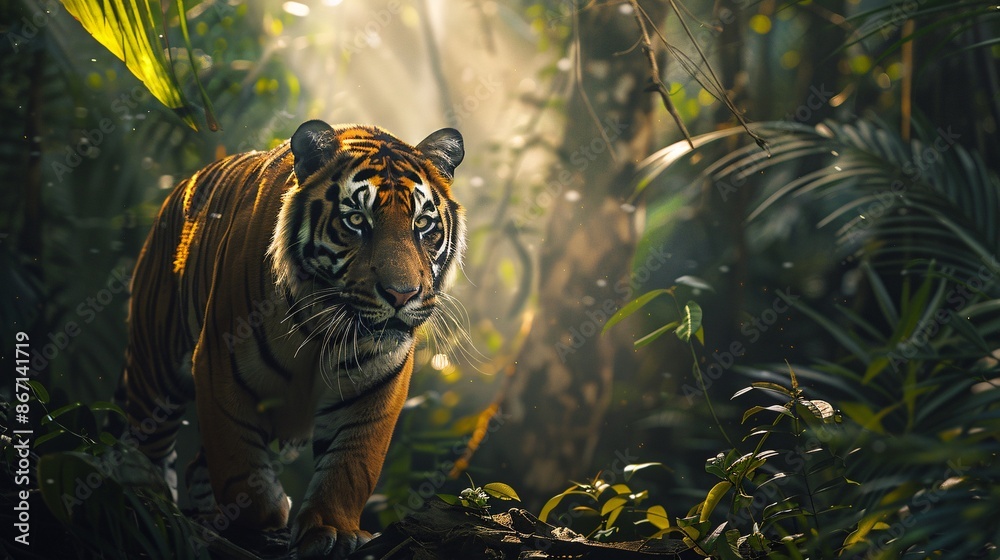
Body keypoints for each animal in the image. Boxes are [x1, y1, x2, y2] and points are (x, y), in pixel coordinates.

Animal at [121, 119, 465, 558]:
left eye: (422, 224)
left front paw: (331, 530)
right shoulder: (220, 364)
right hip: (155, 373)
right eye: (357, 220)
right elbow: (237, 459)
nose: (402, 295)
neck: (323, 325)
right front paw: (264, 518)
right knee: (147, 444)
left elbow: (351, 465)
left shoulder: (375, 384)